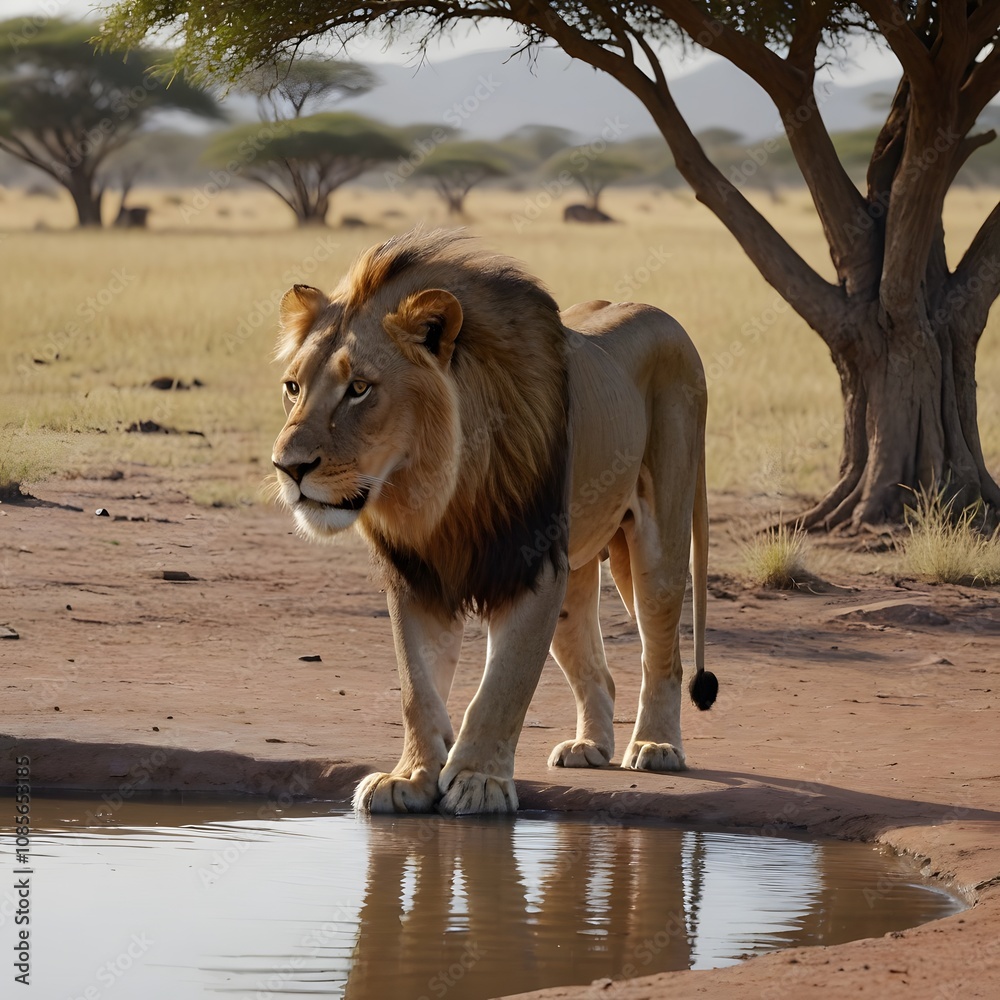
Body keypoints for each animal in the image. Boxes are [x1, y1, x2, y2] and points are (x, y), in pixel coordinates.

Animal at [271, 229, 716, 815]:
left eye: (360, 388)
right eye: (293, 387)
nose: (288, 467)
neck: (437, 491)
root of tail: (672, 323)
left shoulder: (532, 565)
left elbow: (503, 686)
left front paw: (478, 779)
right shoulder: (418, 576)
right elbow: (416, 686)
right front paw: (409, 776)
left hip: (657, 539)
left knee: (662, 652)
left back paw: (657, 746)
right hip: (578, 570)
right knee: (597, 668)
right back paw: (589, 746)